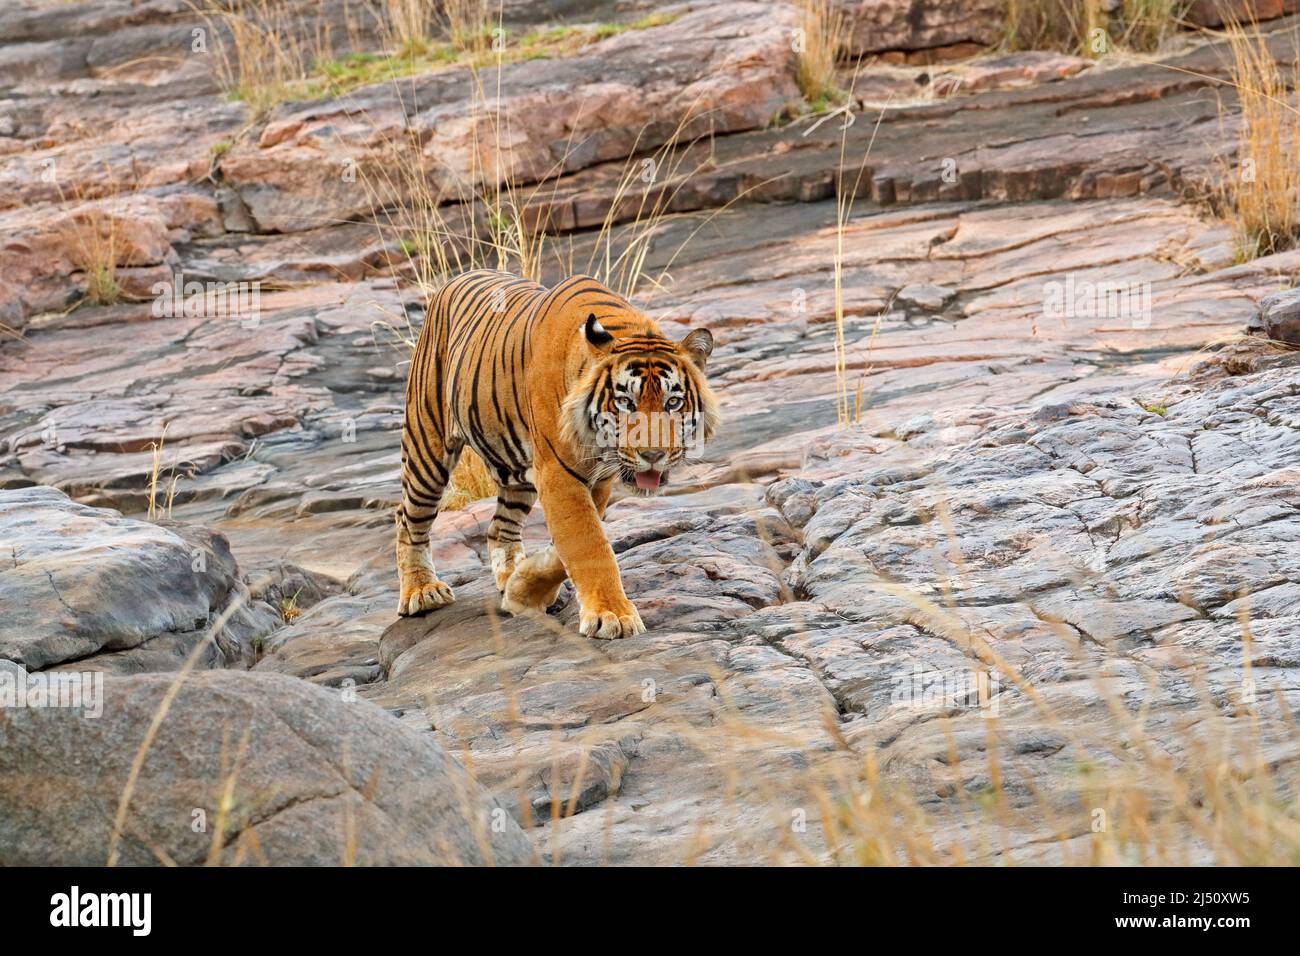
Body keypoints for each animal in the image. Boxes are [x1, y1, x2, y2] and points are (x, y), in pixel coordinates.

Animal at [396, 270, 720, 640]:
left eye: (673, 402)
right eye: (625, 402)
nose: (653, 454)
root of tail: (454, 279)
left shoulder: (597, 480)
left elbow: (567, 547)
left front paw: (523, 589)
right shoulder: (558, 473)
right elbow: (587, 543)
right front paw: (613, 615)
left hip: (514, 470)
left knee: (499, 527)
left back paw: (508, 575)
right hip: (427, 447)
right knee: (408, 519)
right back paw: (422, 591)